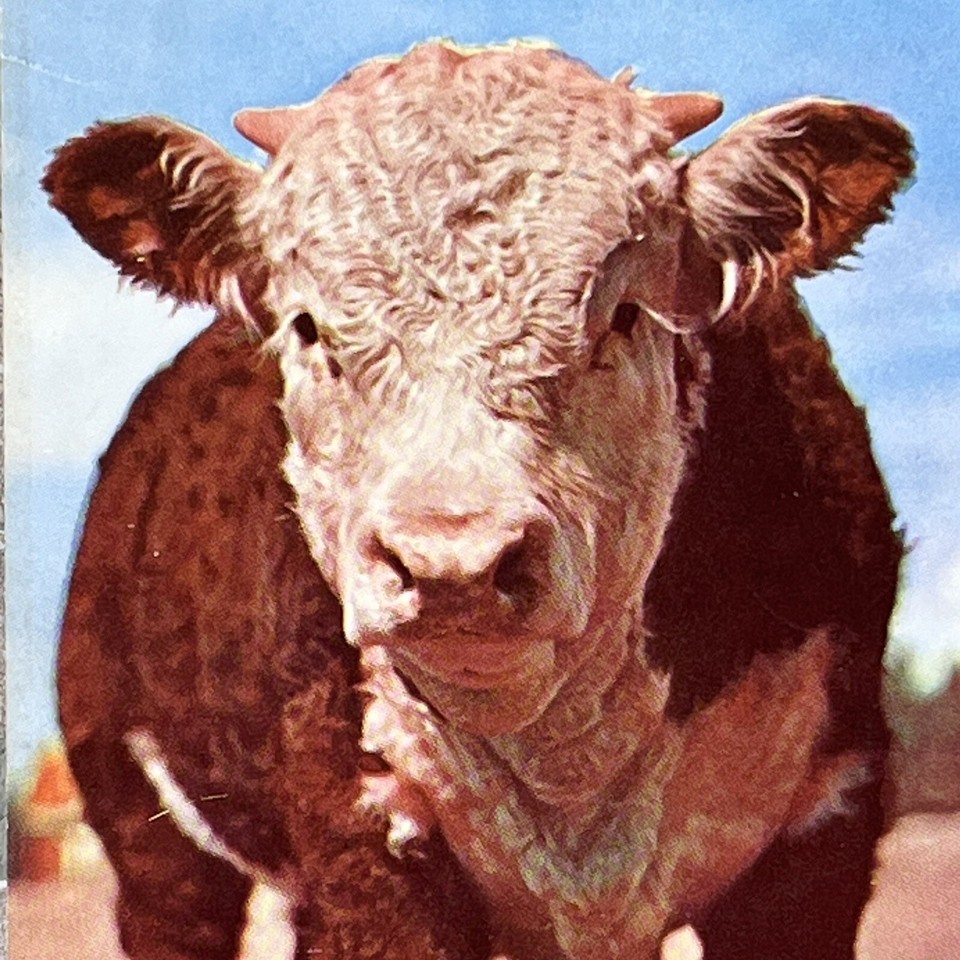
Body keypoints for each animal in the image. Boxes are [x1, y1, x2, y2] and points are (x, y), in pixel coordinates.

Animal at [44, 40, 913, 960]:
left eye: (625, 315)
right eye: (308, 328)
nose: (452, 563)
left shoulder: (823, 825)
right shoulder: (361, 844)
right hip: (146, 835)